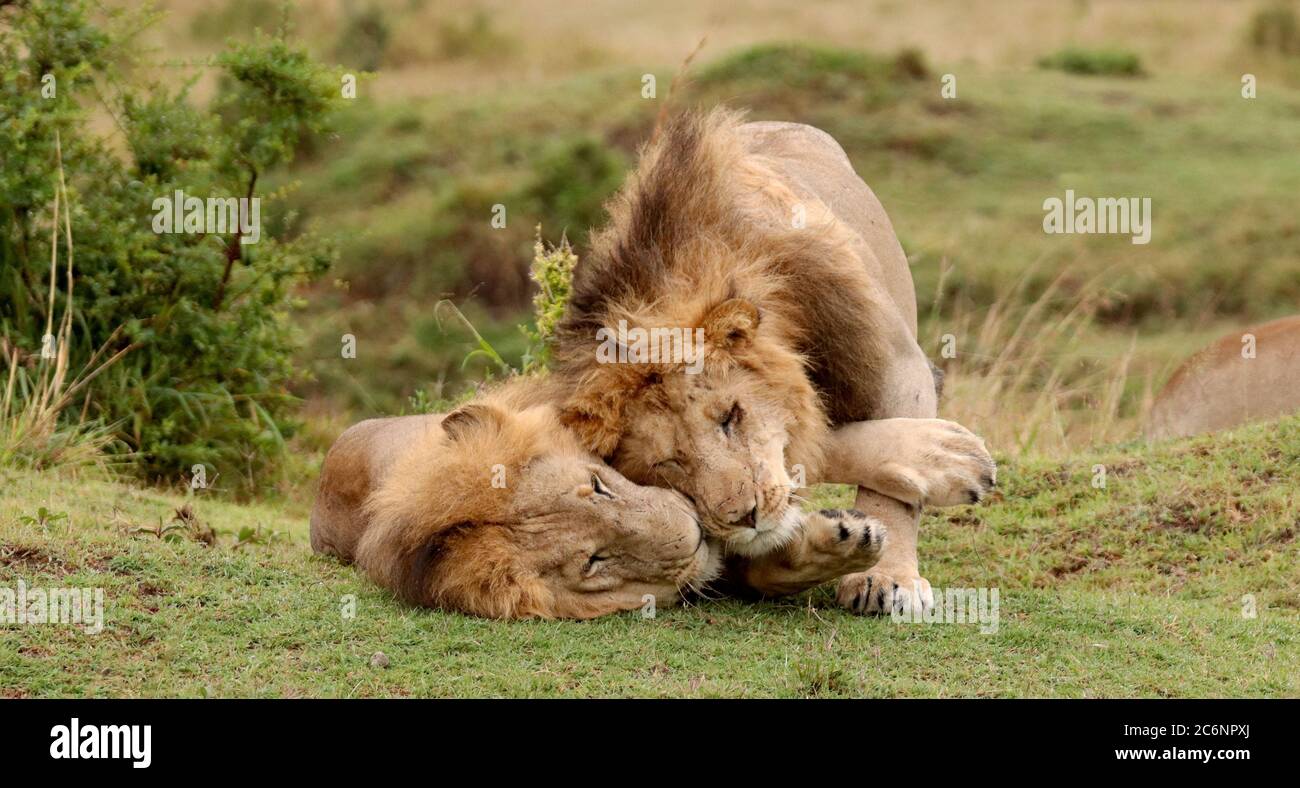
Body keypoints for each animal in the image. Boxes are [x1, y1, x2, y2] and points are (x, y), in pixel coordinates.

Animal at [552, 109, 994, 615]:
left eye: (730, 417)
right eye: (668, 463)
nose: (745, 516)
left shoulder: (898, 371)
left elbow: (889, 492)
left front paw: (887, 578)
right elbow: (823, 449)